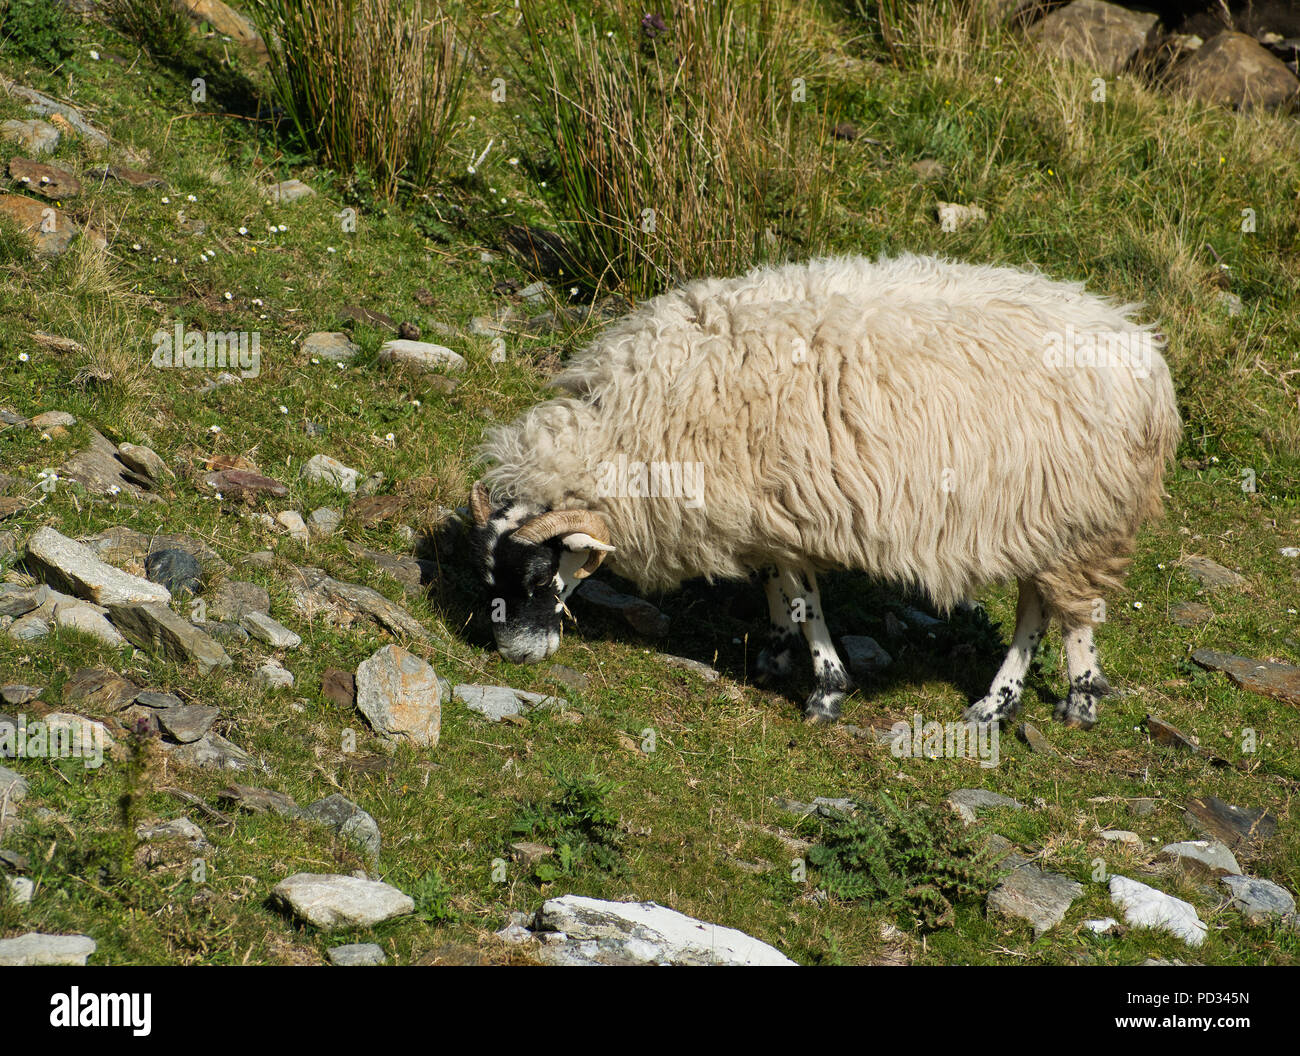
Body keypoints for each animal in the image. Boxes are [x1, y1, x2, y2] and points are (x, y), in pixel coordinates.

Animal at [468, 253, 1181, 729]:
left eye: (539, 576)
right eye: (491, 576)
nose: (515, 656)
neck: (640, 424)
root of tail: (1144, 349)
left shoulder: (795, 507)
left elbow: (805, 598)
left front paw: (826, 690)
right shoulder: (762, 510)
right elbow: (774, 585)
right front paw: (776, 653)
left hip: (1085, 517)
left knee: (1068, 614)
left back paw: (1061, 699)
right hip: (1043, 518)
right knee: (1038, 606)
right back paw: (1001, 703)